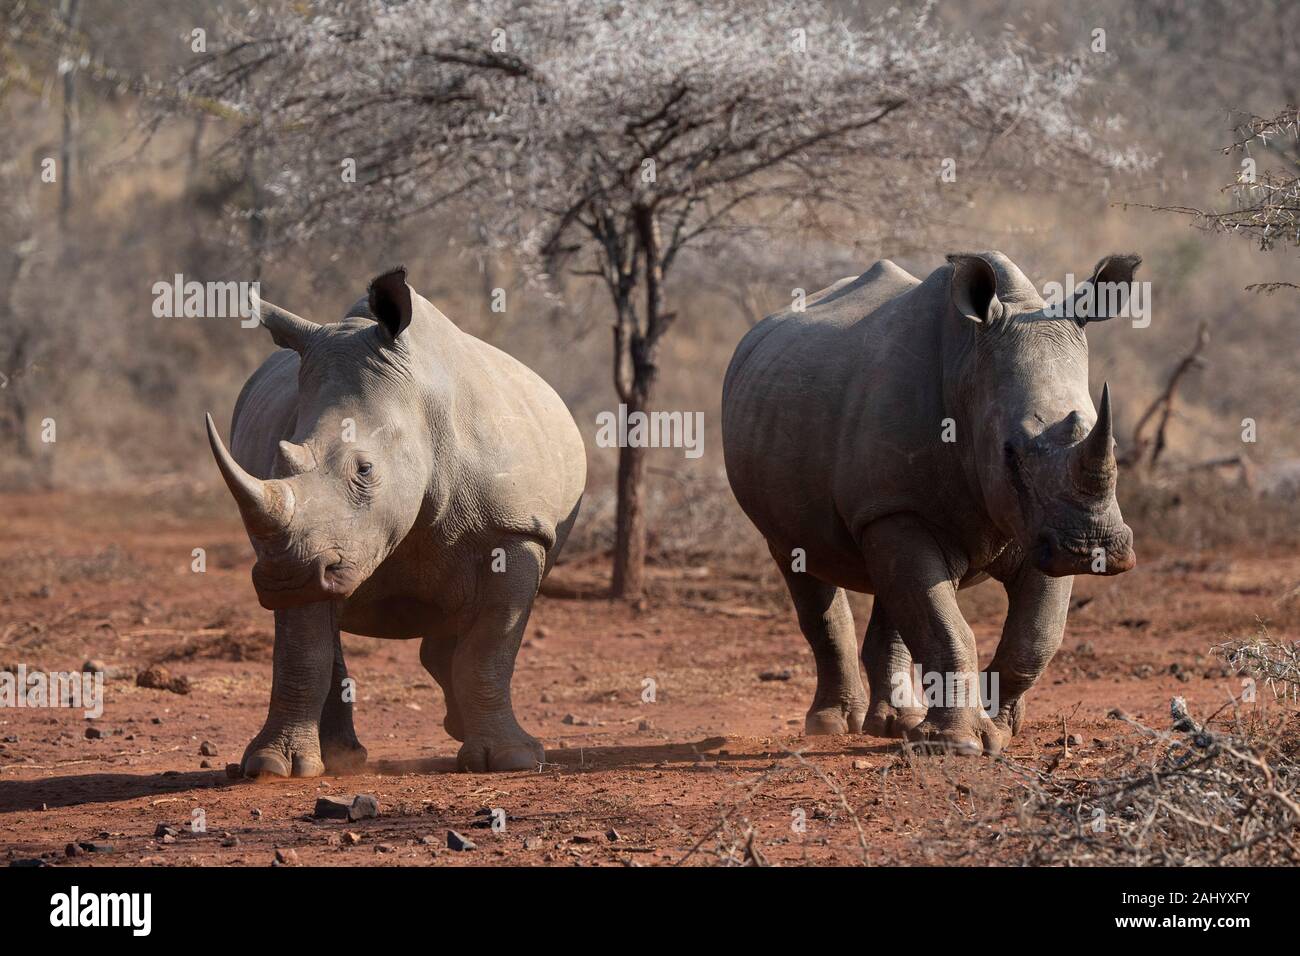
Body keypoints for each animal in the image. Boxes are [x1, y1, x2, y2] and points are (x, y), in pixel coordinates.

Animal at [205, 267, 586, 775]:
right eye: (277, 464)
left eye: (365, 470)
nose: (285, 579)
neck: (422, 411)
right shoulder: (307, 545)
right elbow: (303, 653)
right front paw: (273, 767)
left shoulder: (516, 530)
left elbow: (489, 648)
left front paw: (512, 759)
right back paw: (344, 756)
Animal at [721, 252, 1138, 755]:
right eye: (1010, 453)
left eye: (1106, 436)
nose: (1094, 547)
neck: (969, 370)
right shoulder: (904, 506)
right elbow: (946, 626)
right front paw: (956, 746)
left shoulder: (1041, 524)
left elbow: (1036, 634)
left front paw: (998, 729)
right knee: (799, 560)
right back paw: (834, 726)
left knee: (894, 585)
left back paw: (894, 724)